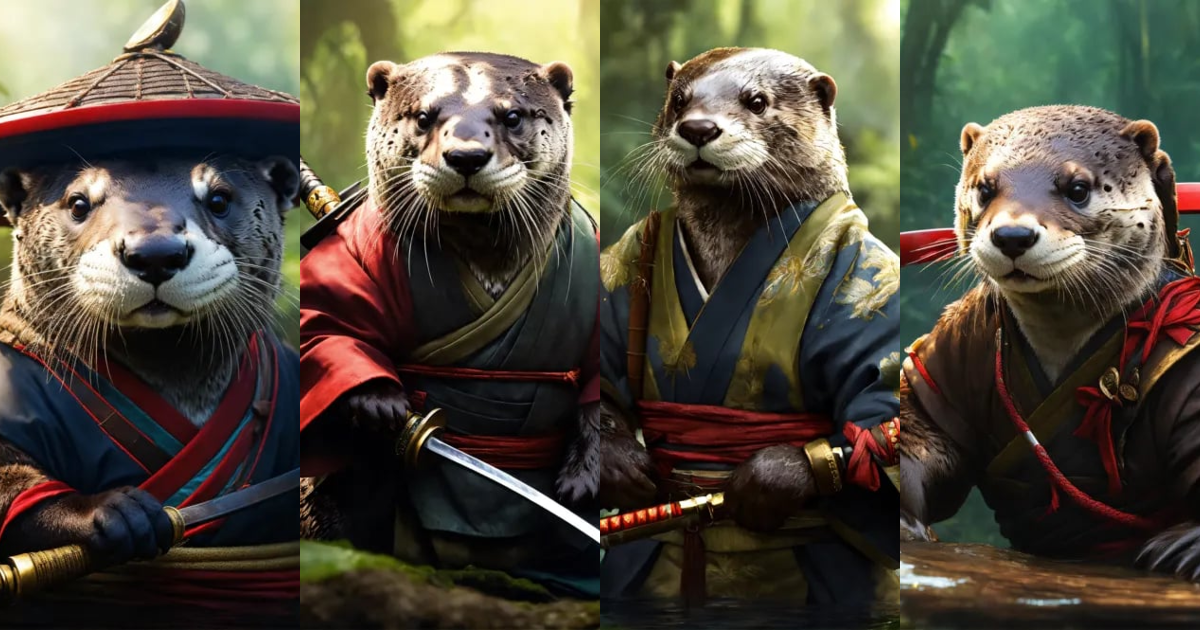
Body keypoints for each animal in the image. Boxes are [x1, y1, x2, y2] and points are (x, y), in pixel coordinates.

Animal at [901, 105, 1200, 581]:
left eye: (1077, 189)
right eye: (985, 188)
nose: (1012, 236)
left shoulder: (1184, 363)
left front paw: (1185, 546)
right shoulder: (956, 346)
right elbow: (924, 430)